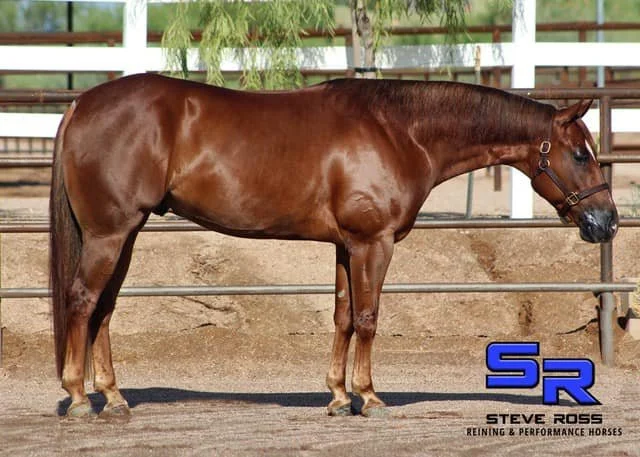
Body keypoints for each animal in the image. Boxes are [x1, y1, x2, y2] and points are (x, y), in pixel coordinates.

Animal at [49, 74, 617, 418]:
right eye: (580, 154)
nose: (607, 222)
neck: (399, 132)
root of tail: (83, 103)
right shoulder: (374, 243)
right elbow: (368, 317)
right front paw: (369, 396)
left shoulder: (347, 246)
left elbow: (344, 316)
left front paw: (339, 397)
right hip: (109, 233)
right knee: (83, 301)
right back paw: (78, 398)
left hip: (125, 234)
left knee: (104, 309)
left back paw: (113, 397)